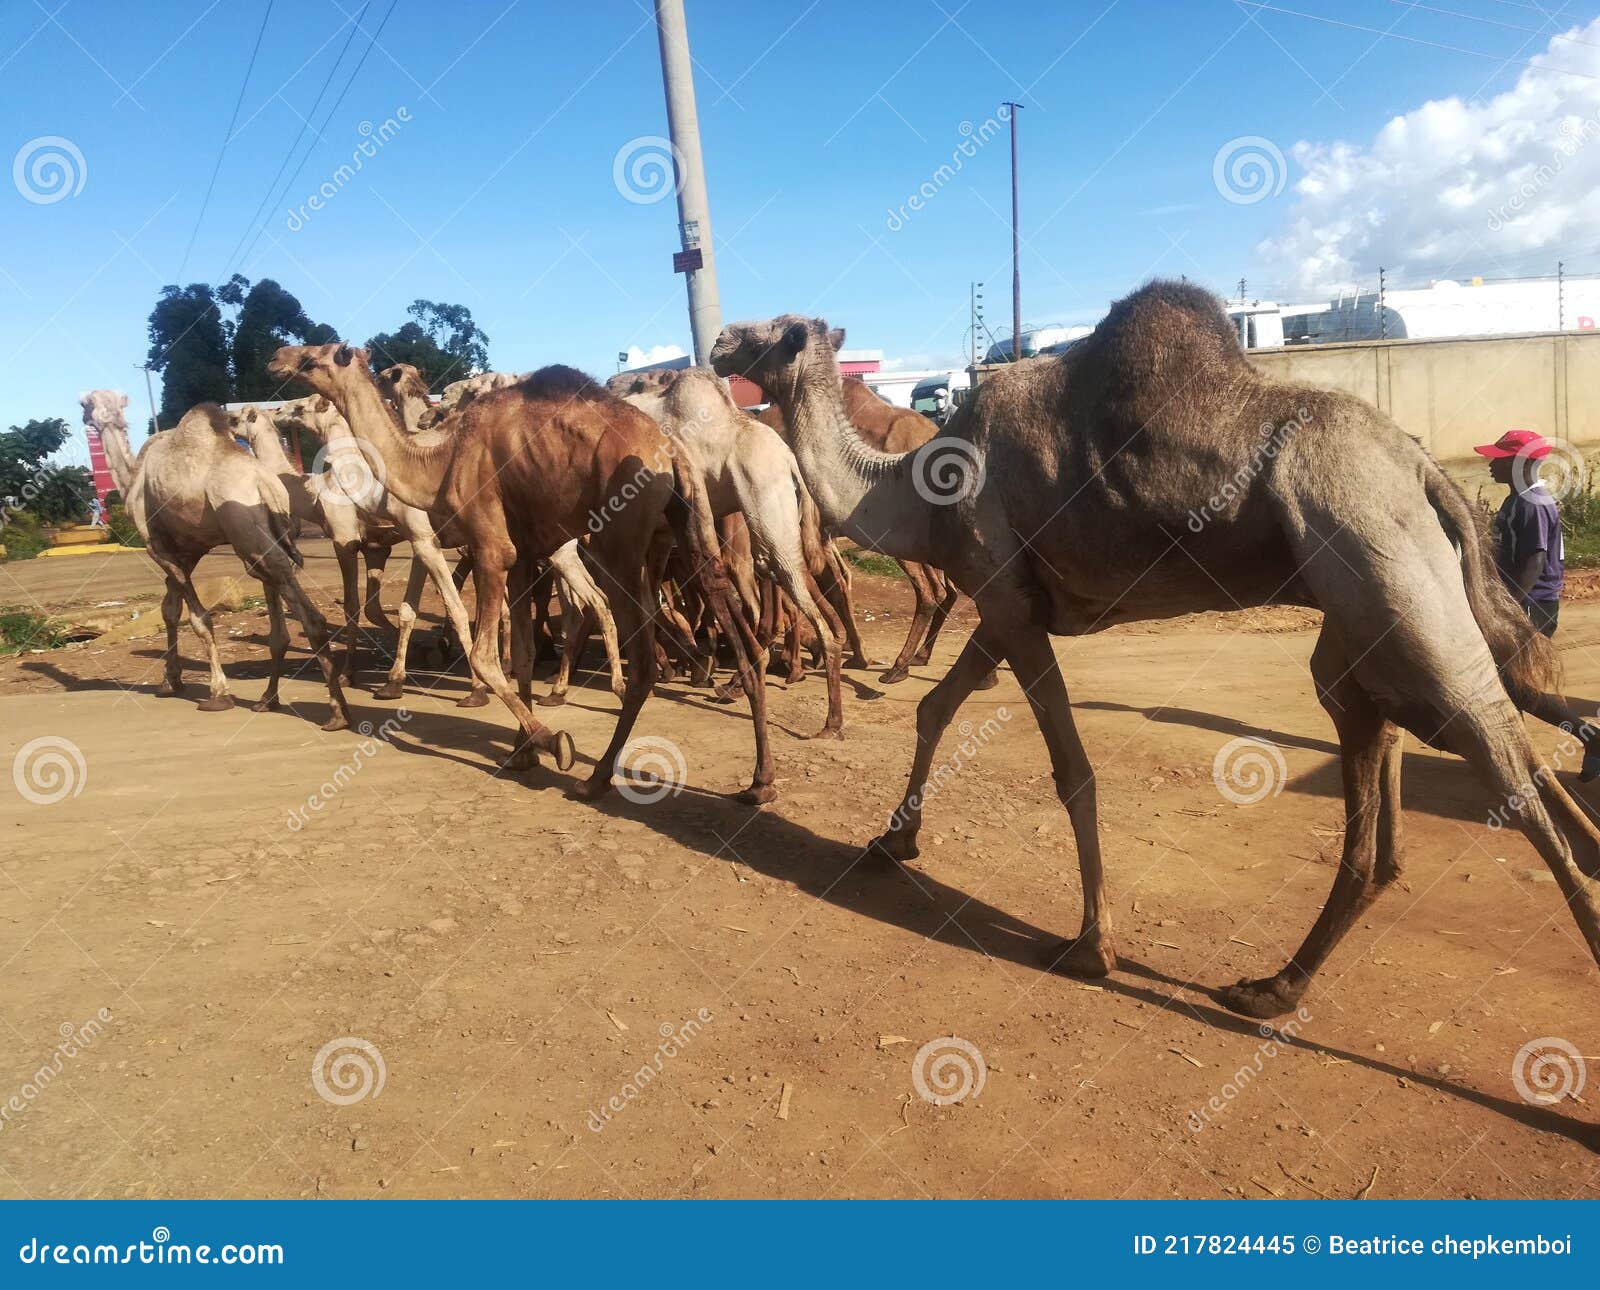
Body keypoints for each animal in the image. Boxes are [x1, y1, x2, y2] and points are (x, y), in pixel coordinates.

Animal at [78, 390, 351, 728]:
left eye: (84, 403)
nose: (86, 417)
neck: (132, 475)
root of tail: (265, 484)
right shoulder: (188, 548)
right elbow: (169, 609)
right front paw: (170, 681)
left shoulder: (156, 545)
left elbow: (198, 618)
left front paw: (217, 693)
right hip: (264, 542)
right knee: (281, 609)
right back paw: (270, 700)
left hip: (247, 536)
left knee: (310, 616)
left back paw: (337, 712)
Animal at [268, 343, 774, 803]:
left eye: (313, 357)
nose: (277, 358)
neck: (441, 462)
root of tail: (669, 452)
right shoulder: (527, 554)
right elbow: (526, 654)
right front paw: (523, 750)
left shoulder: (493, 548)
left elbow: (486, 655)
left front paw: (554, 743)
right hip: (692, 528)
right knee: (742, 638)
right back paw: (758, 782)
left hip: (618, 543)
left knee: (642, 659)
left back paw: (595, 779)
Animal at [757, 381, 959, 683]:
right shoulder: (820, 537)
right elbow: (836, 585)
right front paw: (851, 651)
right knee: (949, 590)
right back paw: (923, 657)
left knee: (929, 593)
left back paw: (899, 667)